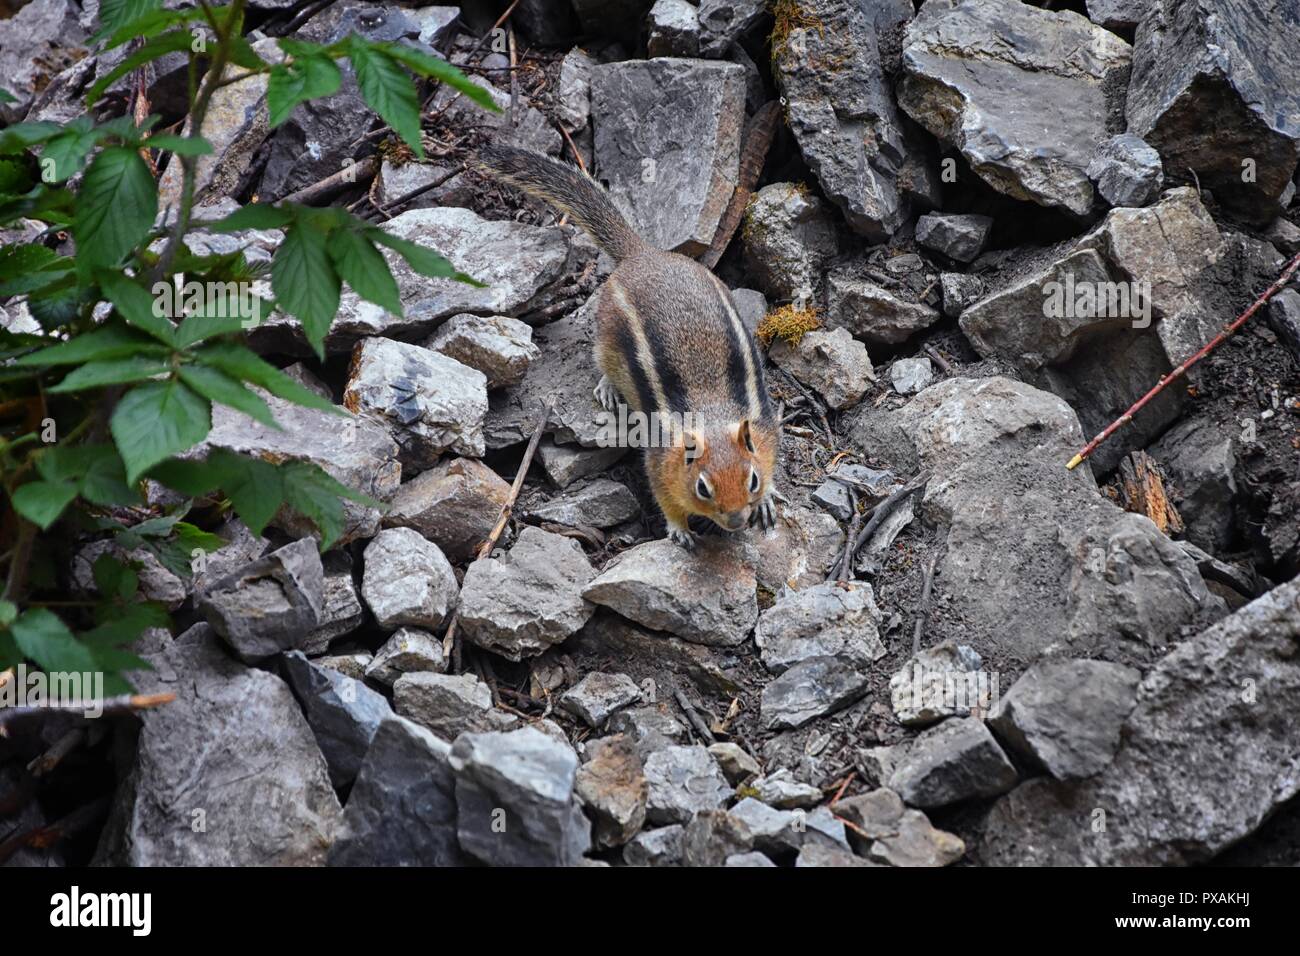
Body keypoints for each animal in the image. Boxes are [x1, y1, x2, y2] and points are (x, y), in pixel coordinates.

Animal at [474, 143, 780, 549]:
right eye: (703, 488)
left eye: (752, 479)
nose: (736, 521)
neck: (711, 412)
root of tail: (641, 254)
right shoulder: (660, 462)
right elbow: (664, 496)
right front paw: (679, 530)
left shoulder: (765, 433)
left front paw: (769, 499)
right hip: (607, 338)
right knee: (603, 363)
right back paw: (607, 388)